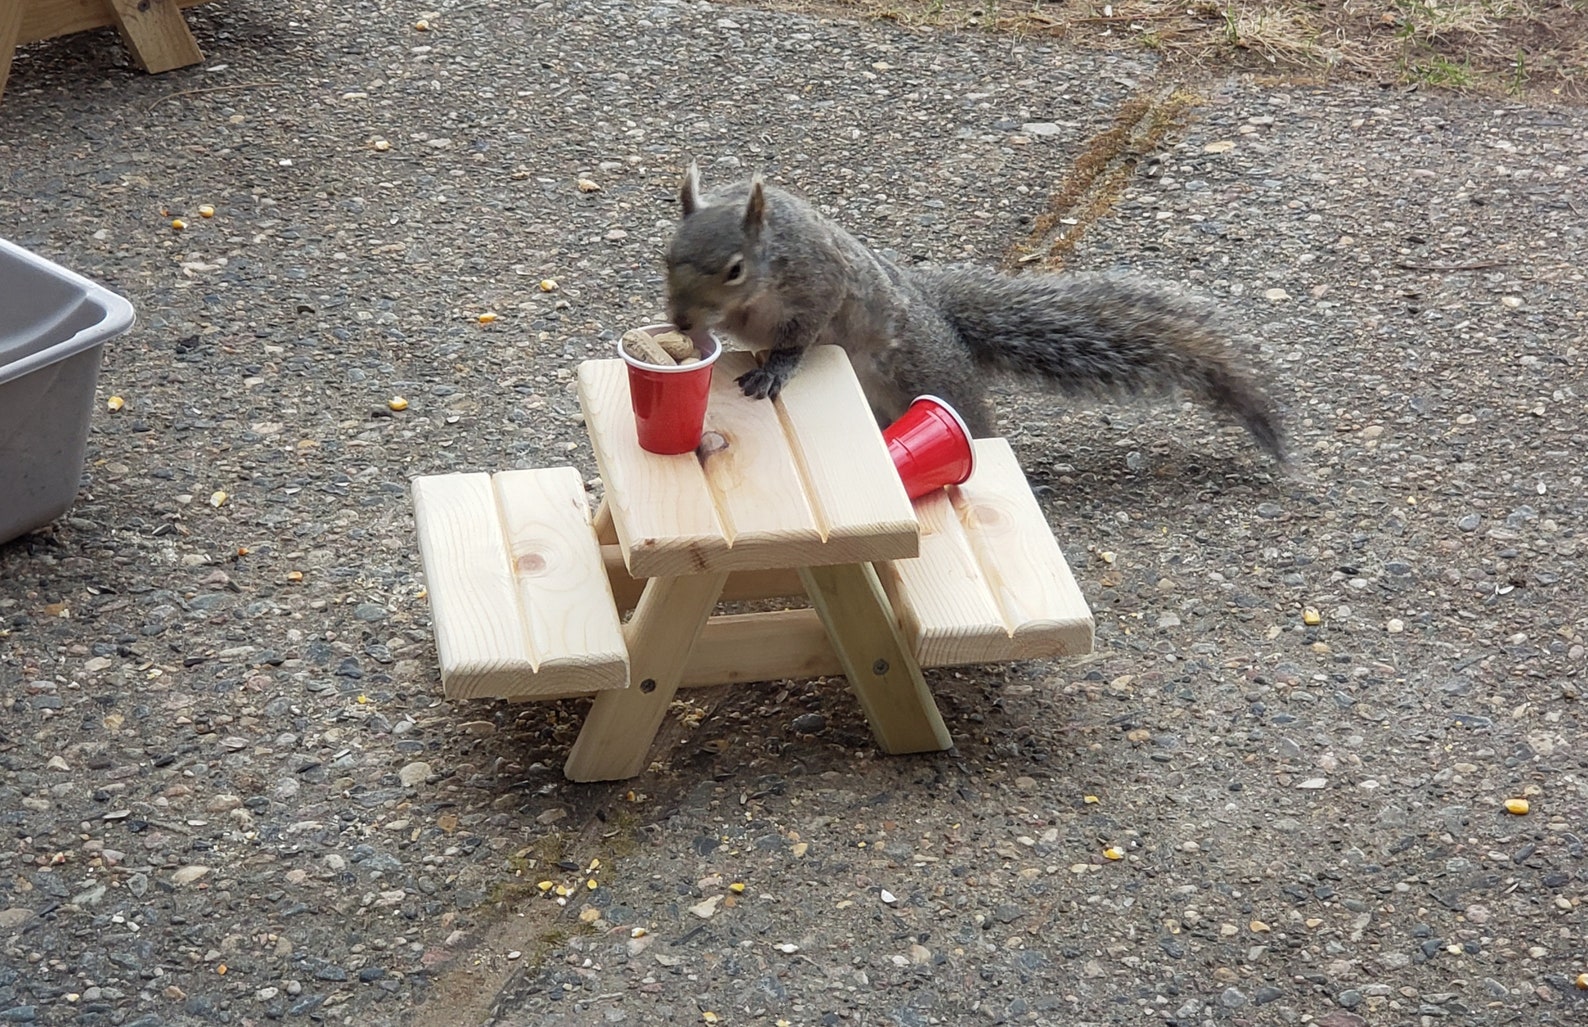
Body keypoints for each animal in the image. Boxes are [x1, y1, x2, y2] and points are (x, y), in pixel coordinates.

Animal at [663, 164, 1287, 464]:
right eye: (666, 255)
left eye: (735, 269)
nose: (681, 320)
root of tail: (934, 313)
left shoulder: (819, 284)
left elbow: (800, 334)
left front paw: (774, 368)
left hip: (927, 374)